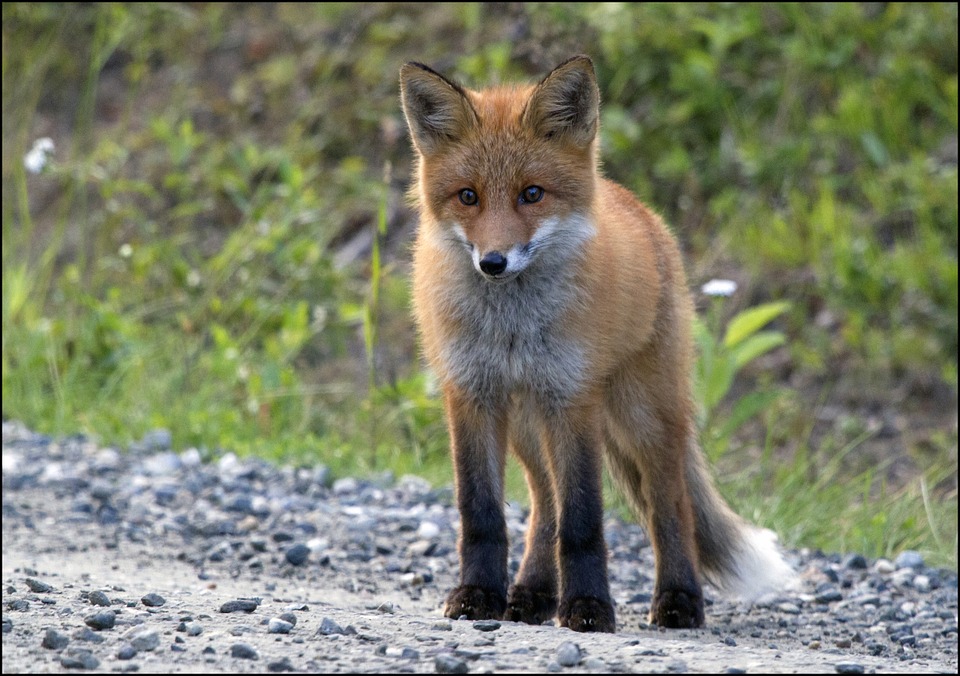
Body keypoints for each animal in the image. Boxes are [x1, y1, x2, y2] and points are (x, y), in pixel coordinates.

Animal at [399, 55, 794, 632]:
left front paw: (588, 607)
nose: (493, 262)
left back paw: (678, 600)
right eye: (468, 196)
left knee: (670, 507)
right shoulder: (472, 395)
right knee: (545, 506)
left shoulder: (572, 397)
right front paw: (477, 595)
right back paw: (531, 594)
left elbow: (584, 520)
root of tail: (637, 206)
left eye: (532, 194)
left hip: (641, 414)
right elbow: (482, 514)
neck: (512, 327)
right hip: (527, 423)